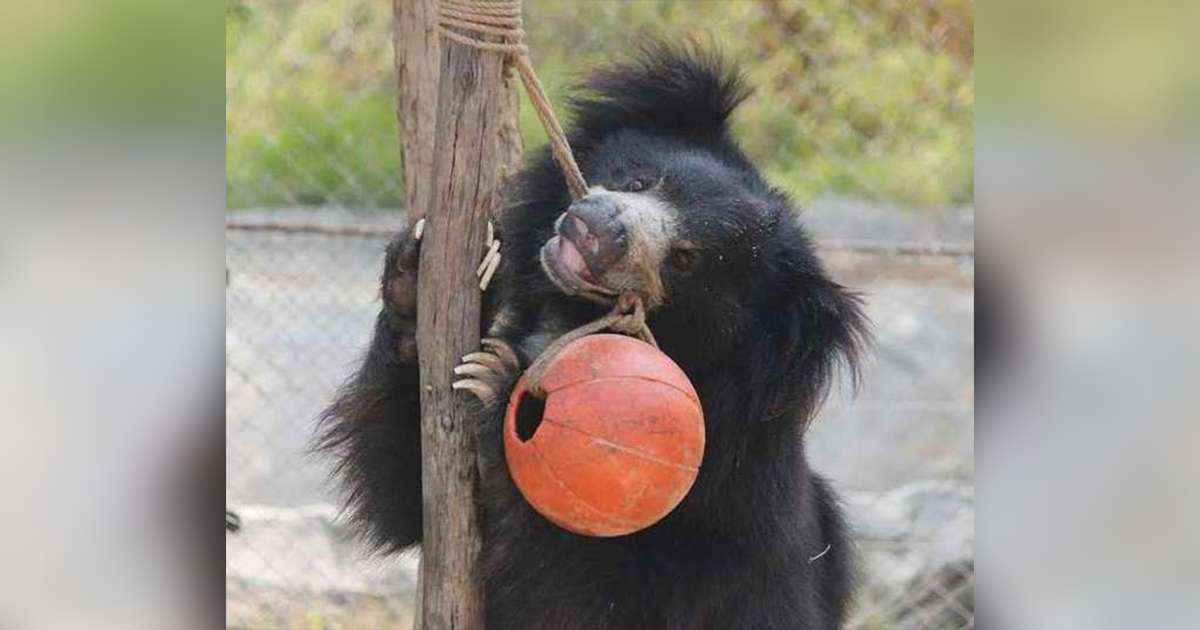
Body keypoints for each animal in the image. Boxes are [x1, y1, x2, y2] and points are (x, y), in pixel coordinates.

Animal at [317, 41, 869, 630]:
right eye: (641, 181)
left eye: (686, 259)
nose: (598, 228)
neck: (568, 315)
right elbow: (406, 492)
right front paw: (416, 278)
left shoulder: (716, 496)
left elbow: (575, 583)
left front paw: (501, 388)